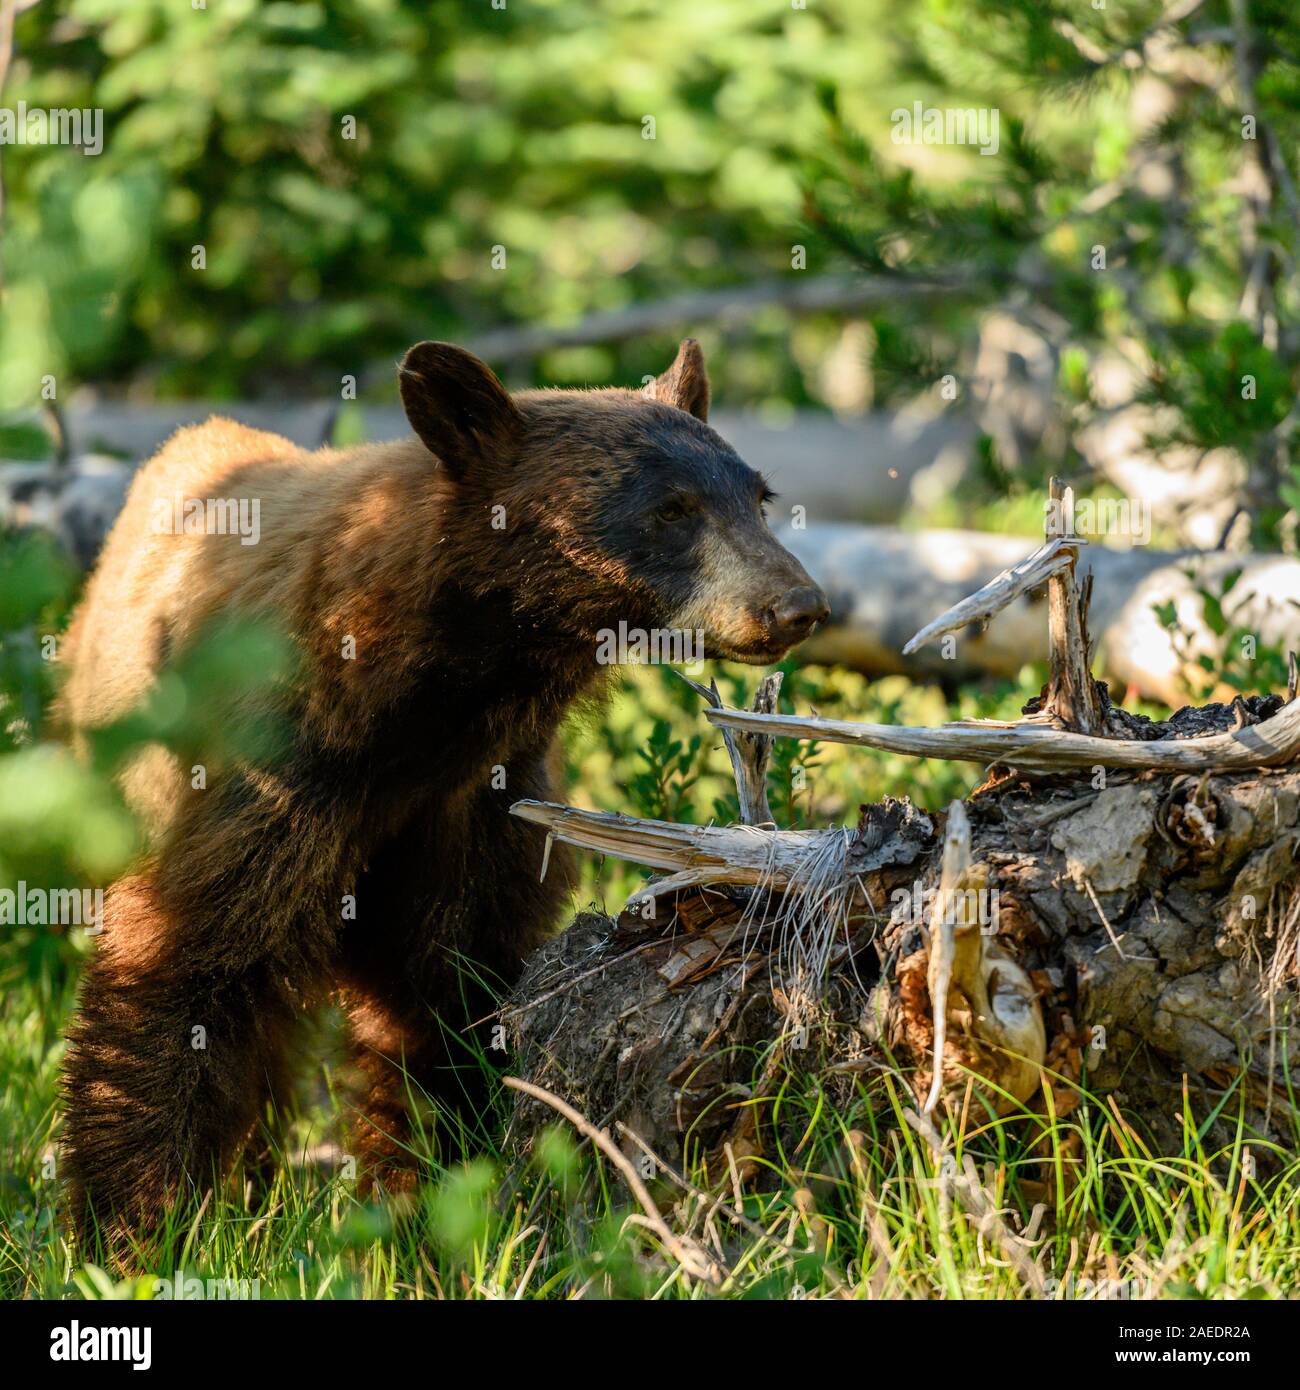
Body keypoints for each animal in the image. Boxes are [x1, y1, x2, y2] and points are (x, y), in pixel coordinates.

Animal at [56, 337, 828, 1250]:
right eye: (671, 510)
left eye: (758, 497)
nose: (798, 605)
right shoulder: (274, 774)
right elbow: (190, 963)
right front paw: (136, 1224)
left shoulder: (481, 800)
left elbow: (453, 984)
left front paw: (428, 1187)